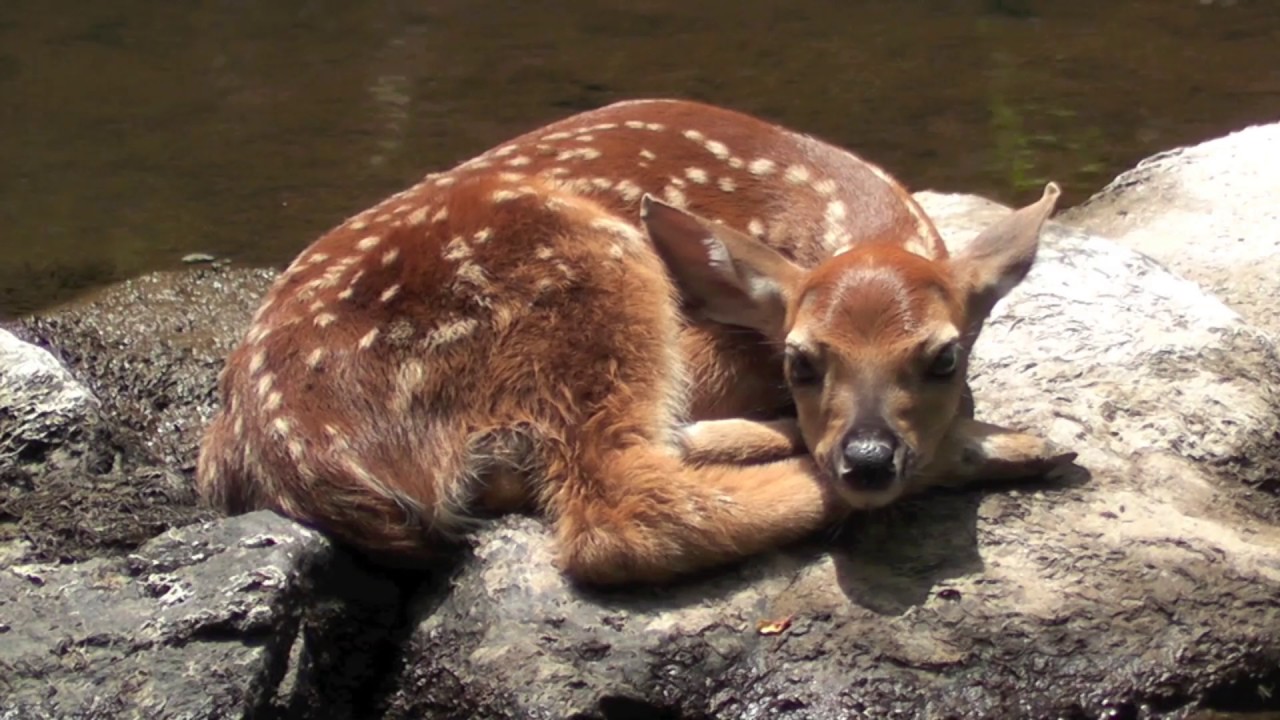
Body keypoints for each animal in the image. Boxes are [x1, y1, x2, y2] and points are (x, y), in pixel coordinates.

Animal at [196, 98, 1071, 586]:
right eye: (801, 360)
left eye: (944, 356)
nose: (867, 459)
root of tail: (298, 454)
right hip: (580, 267)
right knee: (619, 514)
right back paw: (1000, 447)